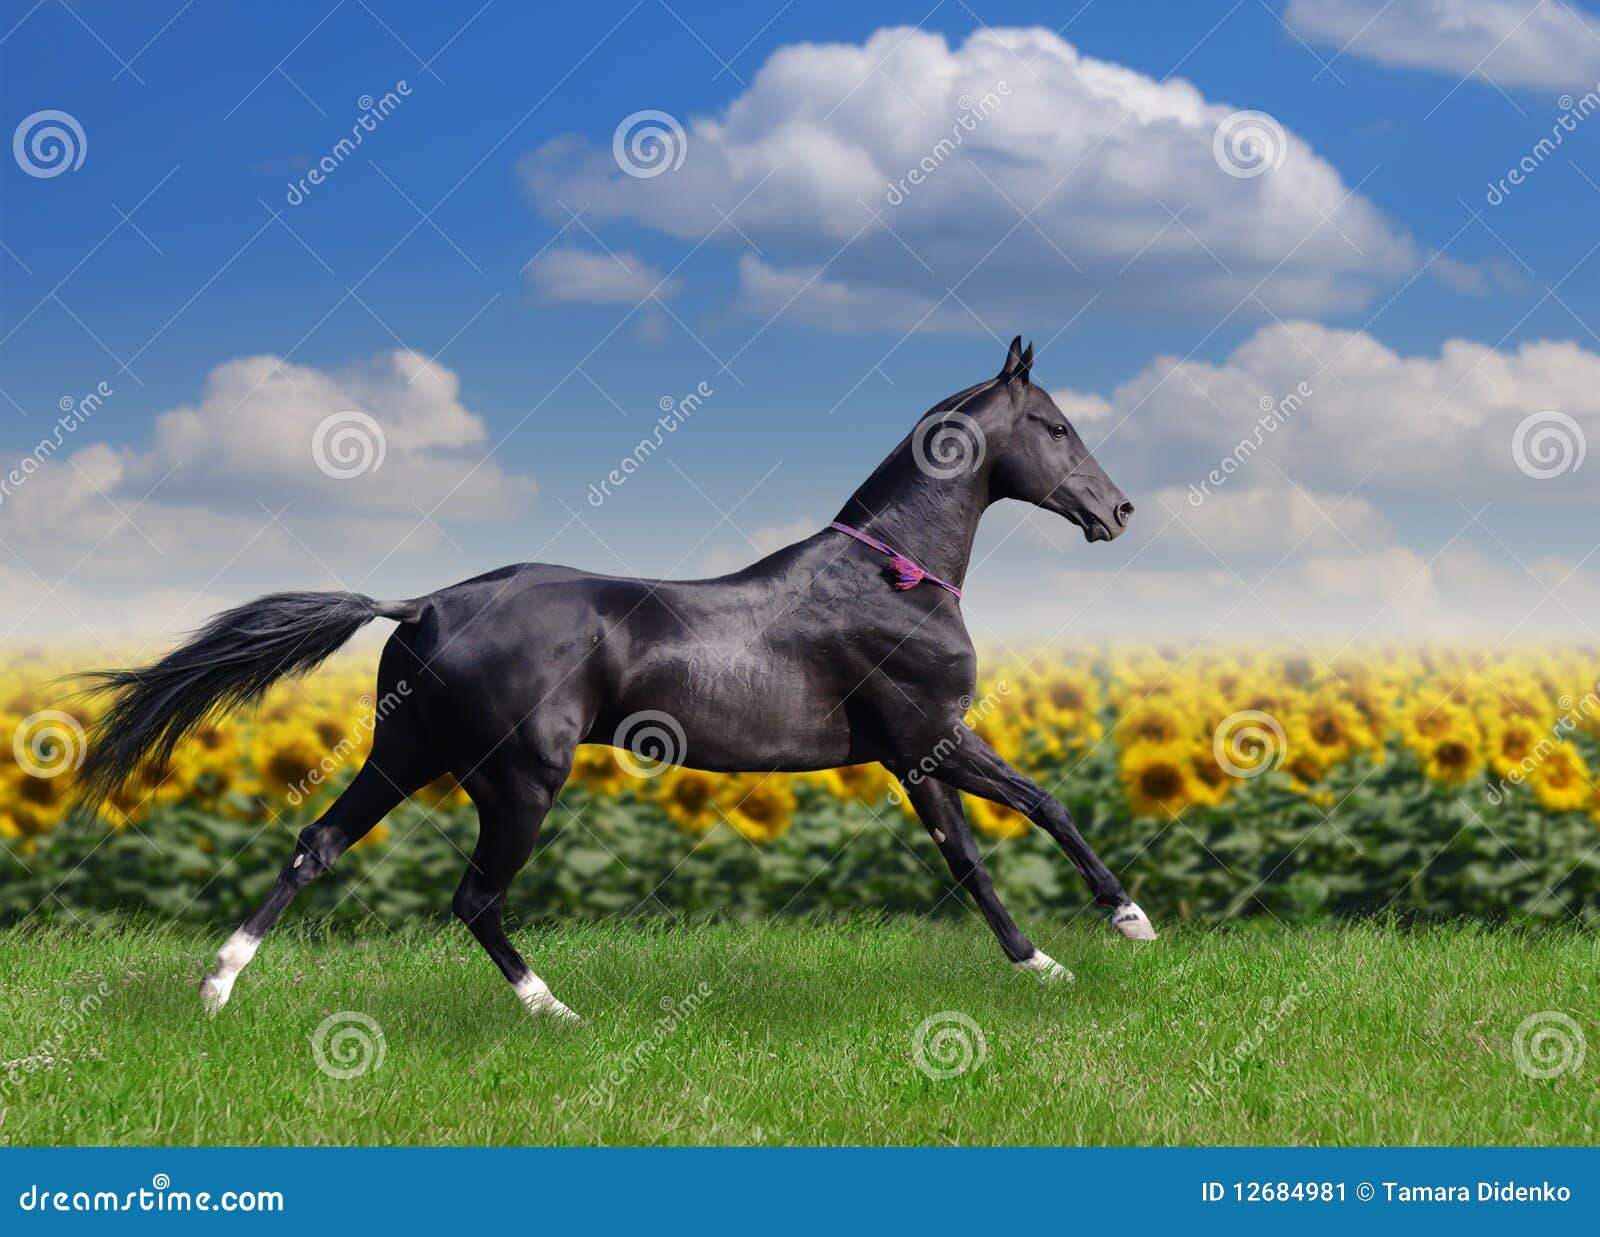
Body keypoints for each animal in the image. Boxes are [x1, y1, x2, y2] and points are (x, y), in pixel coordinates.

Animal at [77, 336, 1153, 1022]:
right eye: (1055, 425)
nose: (1117, 510)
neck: (894, 574)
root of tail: (423, 607)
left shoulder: (915, 752)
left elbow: (986, 844)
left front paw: (1062, 952)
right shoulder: (928, 736)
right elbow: (1025, 816)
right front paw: (1109, 930)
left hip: (406, 753)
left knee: (316, 846)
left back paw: (217, 985)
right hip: (517, 781)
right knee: (473, 899)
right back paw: (555, 1009)